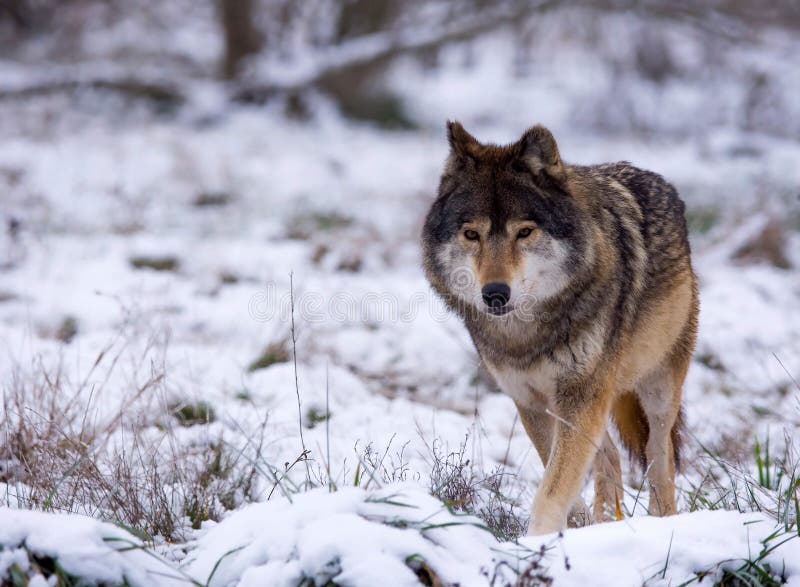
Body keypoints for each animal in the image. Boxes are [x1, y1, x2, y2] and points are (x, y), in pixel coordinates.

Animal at [422, 122, 698, 535]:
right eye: (472, 234)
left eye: (524, 232)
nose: (495, 294)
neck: (527, 336)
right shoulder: (531, 401)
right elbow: (560, 478)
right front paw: (574, 529)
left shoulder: (581, 396)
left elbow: (553, 489)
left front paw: (539, 540)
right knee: (609, 457)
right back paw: (605, 524)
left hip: (657, 390)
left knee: (658, 458)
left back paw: (662, 522)